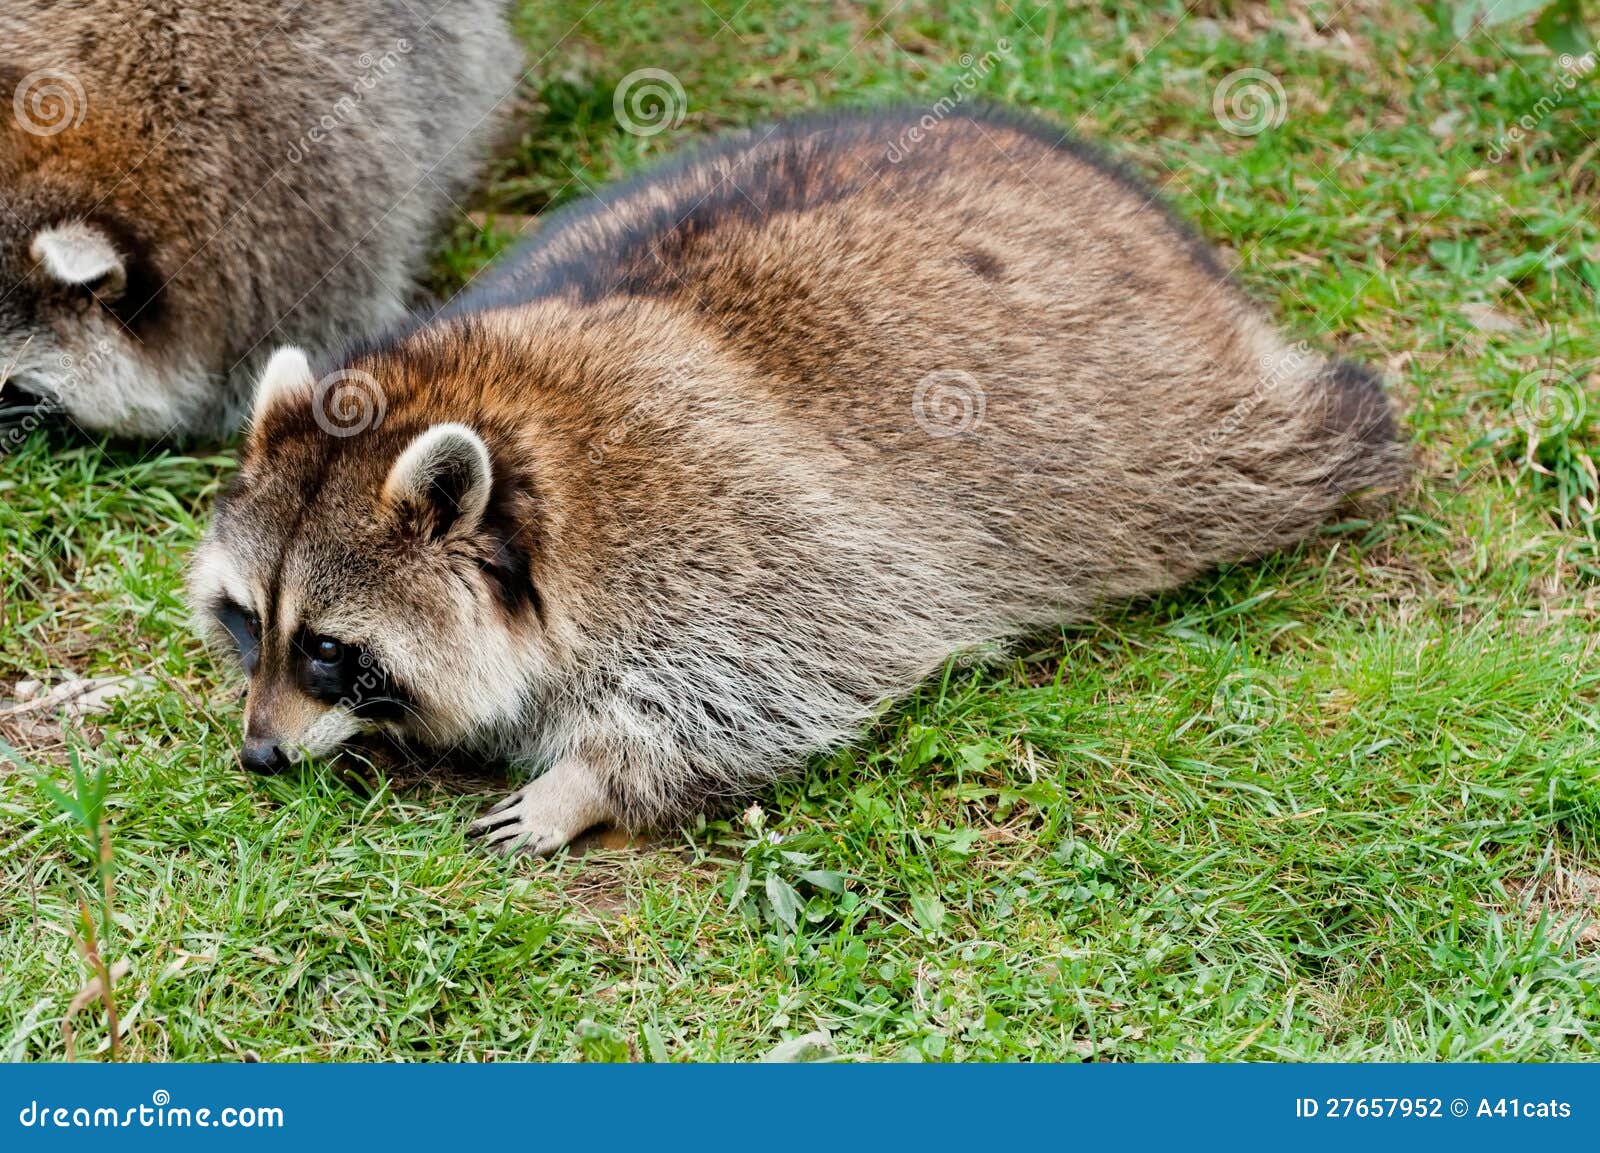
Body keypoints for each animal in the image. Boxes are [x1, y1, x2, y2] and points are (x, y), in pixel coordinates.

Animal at [189, 107, 1407, 855]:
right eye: (248, 623)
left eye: (331, 649)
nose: (257, 754)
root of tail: (1140, 214)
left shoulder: (730, 530)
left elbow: (771, 685)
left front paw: (585, 782)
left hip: (1169, 433)